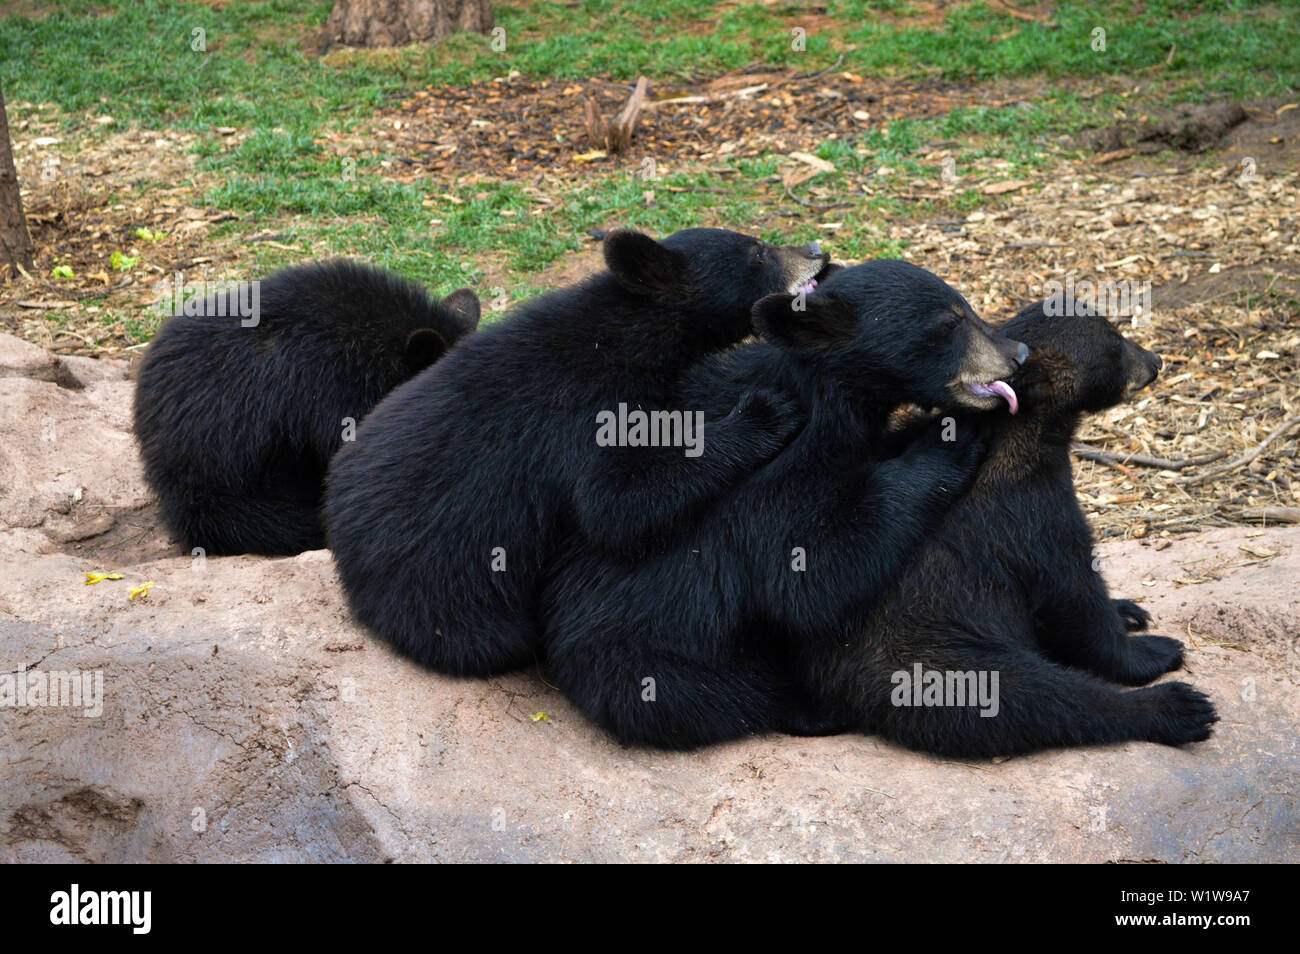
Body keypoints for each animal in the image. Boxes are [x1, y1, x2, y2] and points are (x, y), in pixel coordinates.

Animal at [324, 227, 832, 676]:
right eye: (759, 252)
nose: (817, 250)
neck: (632, 337)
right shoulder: (586, 411)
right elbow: (617, 501)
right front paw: (764, 413)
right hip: (445, 585)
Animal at [537, 259, 1029, 749]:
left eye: (967, 306)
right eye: (948, 323)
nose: (1018, 353)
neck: (830, 398)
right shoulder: (784, 468)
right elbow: (807, 572)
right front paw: (948, 439)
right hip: (653, 659)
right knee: (721, 695)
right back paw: (812, 710)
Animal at [794, 301, 1218, 757]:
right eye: (1114, 343)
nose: (1155, 360)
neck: (1027, 433)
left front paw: (1129, 608)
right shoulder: (1029, 512)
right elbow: (1073, 593)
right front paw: (1150, 649)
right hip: (932, 656)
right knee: (1033, 696)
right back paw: (1177, 706)